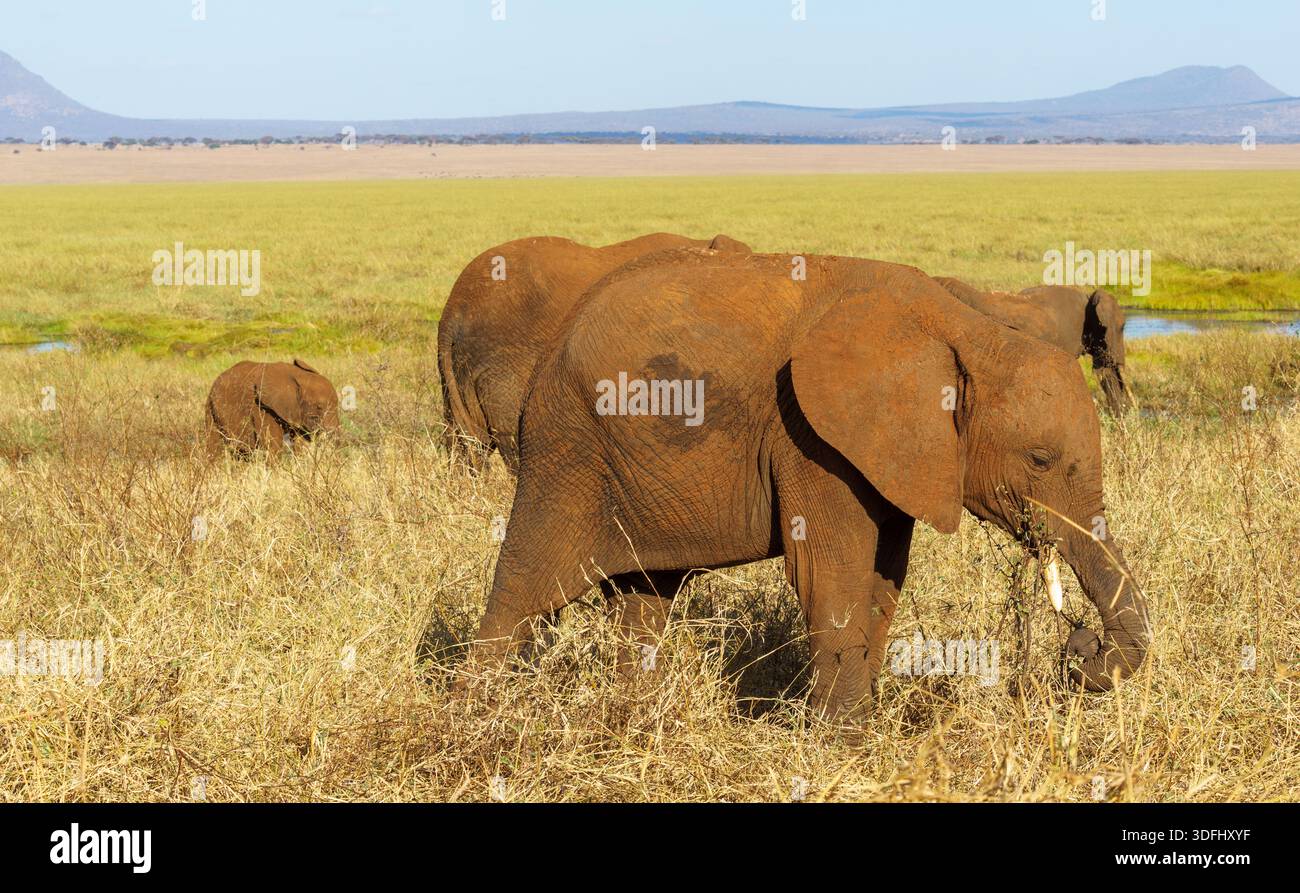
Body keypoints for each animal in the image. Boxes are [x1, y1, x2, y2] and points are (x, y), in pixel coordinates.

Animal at [205, 359, 341, 458]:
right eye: (319, 407)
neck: (296, 375)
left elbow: (301, 442)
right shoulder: (260, 405)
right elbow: (272, 443)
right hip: (211, 408)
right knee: (214, 448)